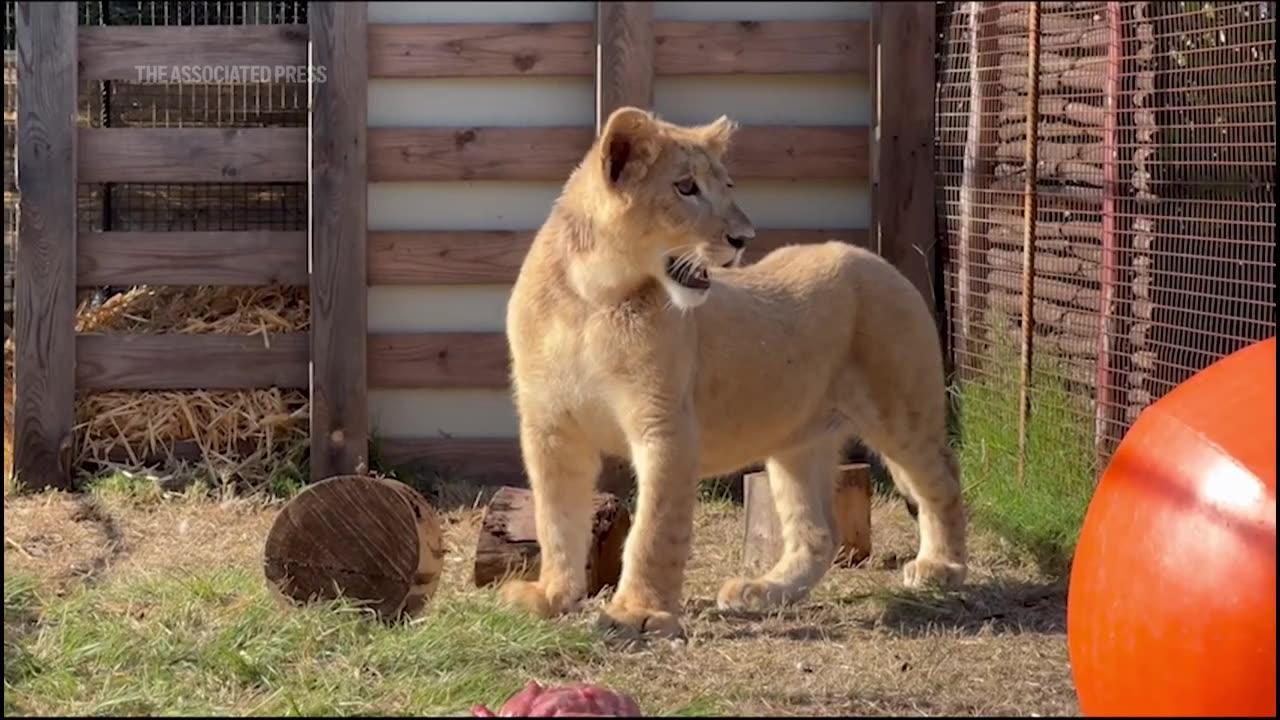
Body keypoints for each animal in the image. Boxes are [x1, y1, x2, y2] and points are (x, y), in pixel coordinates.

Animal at [500, 107, 967, 639]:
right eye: (685, 187)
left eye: (727, 186)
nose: (744, 238)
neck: (592, 300)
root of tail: (879, 260)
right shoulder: (550, 430)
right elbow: (555, 519)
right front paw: (550, 596)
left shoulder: (666, 427)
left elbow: (653, 529)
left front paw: (638, 613)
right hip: (797, 440)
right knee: (819, 533)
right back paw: (763, 591)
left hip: (899, 410)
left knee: (943, 479)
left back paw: (941, 567)